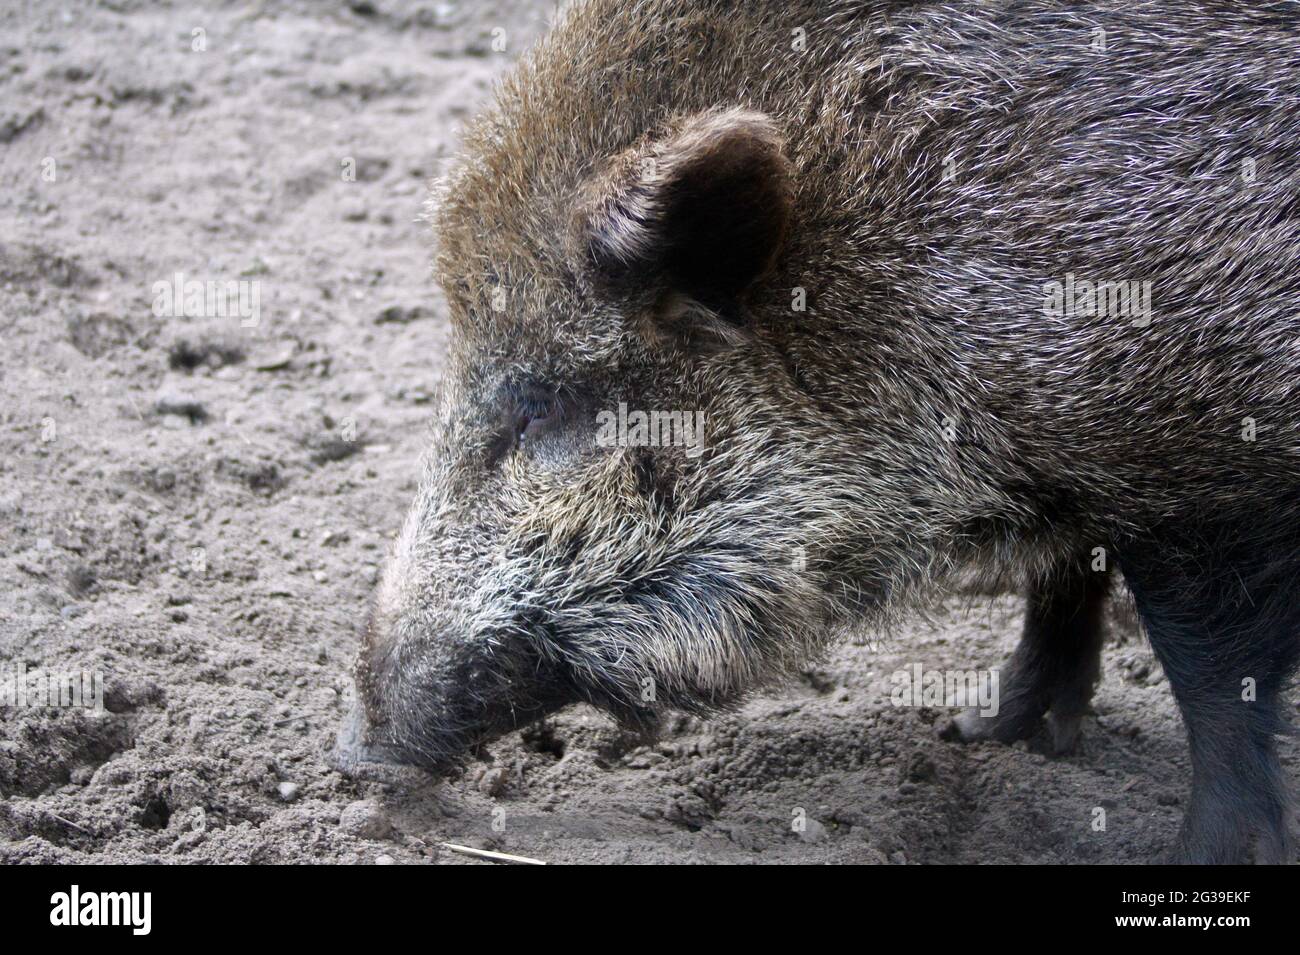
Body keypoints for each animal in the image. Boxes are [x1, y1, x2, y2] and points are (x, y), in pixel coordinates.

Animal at [334, 0, 1300, 864]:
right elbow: (1065, 583)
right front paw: (984, 731)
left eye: (539, 404)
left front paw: (1205, 854)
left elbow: (1214, 680)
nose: (352, 755)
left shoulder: (1205, 459)